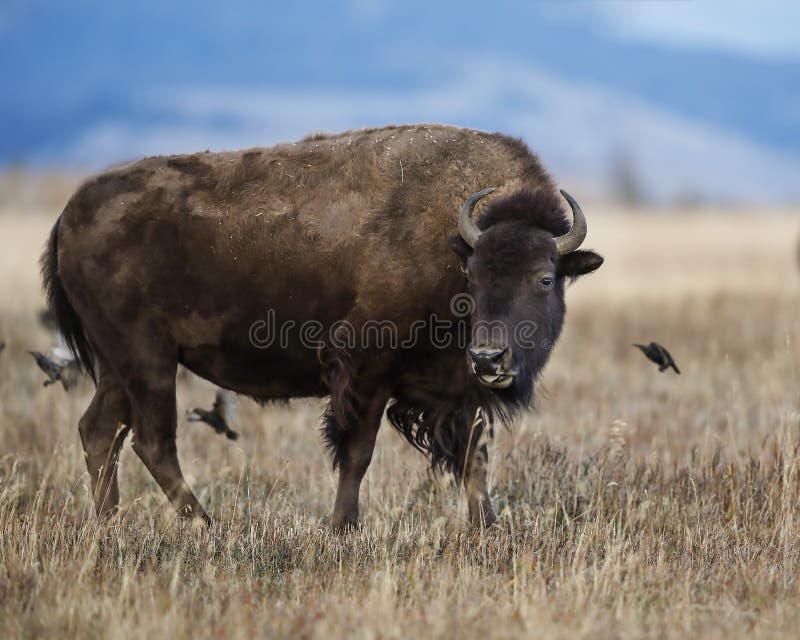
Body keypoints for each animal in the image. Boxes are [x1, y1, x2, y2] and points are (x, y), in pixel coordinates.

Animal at [42, 124, 603, 529]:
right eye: (473, 275)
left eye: (545, 278)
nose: (489, 358)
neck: (450, 239)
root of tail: (69, 215)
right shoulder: (367, 374)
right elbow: (357, 453)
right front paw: (343, 528)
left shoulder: (458, 391)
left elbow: (474, 457)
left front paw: (488, 529)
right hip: (148, 361)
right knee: (152, 441)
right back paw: (206, 527)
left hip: (118, 365)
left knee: (101, 432)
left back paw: (111, 525)